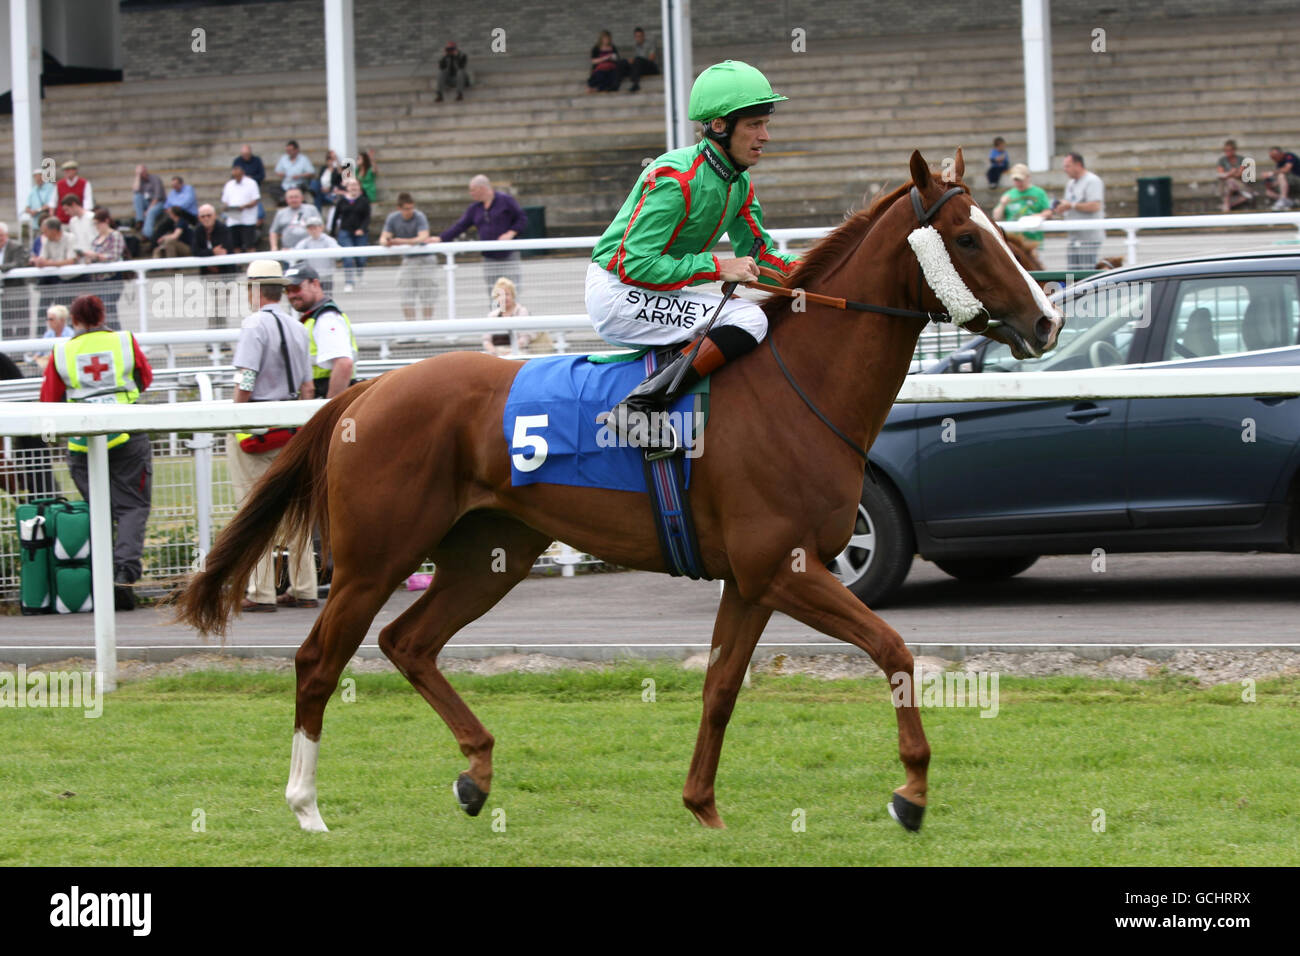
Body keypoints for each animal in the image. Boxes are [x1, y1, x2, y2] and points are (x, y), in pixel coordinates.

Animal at [174, 148, 1063, 834]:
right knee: (320, 659)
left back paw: (477, 773)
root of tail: (365, 392)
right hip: (373, 558)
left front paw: (702, 805)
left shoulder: (754, 579)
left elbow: (721, 688)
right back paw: (307, 807)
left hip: (493, 553)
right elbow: (894, 650)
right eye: (966, 238)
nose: (1047, 322)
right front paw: (911, 792)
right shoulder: (785, 566)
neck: (797, 388)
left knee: (409, 643)